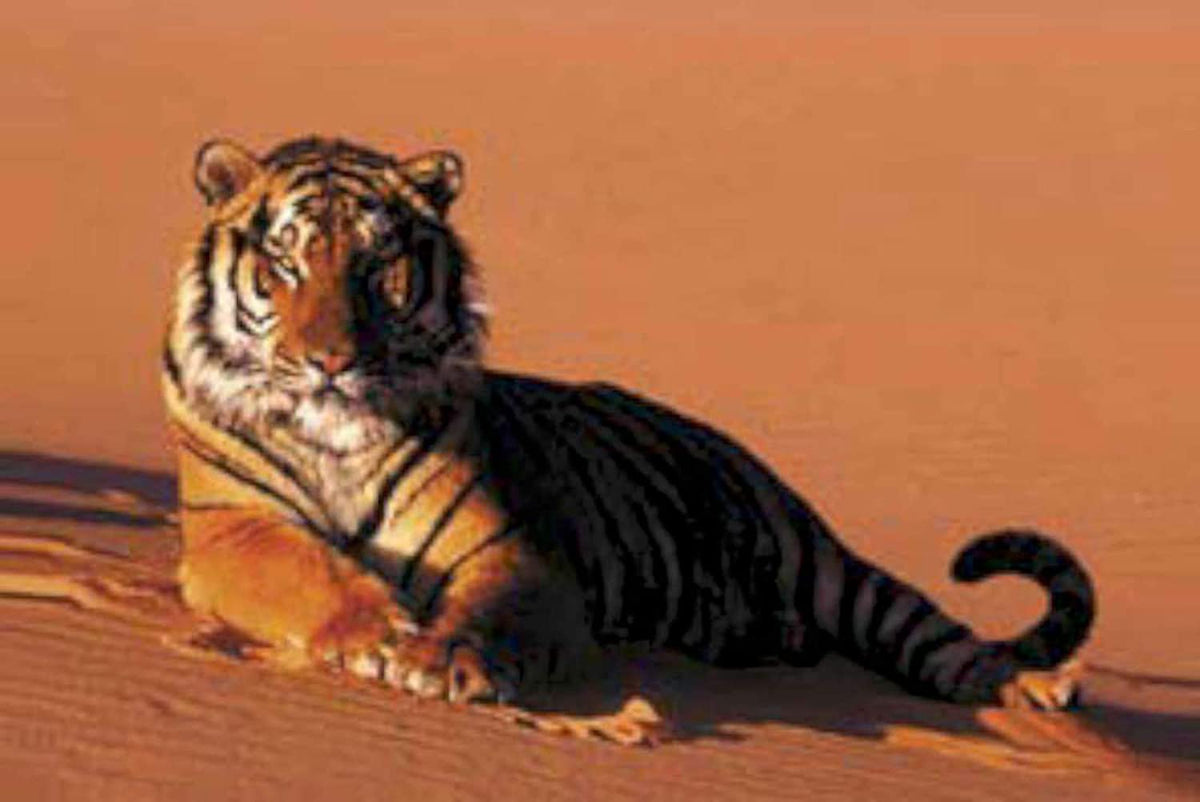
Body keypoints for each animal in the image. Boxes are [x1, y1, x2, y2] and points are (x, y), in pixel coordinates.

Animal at [164, 135, 1095, 716]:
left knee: (948, 644)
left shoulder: (511, 550)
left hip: (832, 571)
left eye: (375, 264)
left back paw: (1044, 690)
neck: (338, 434)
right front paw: (378, 636)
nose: (330, 361)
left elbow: (494, 611)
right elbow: (310, 574)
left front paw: (441, 661)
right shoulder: (233, 529)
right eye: (285, 261)